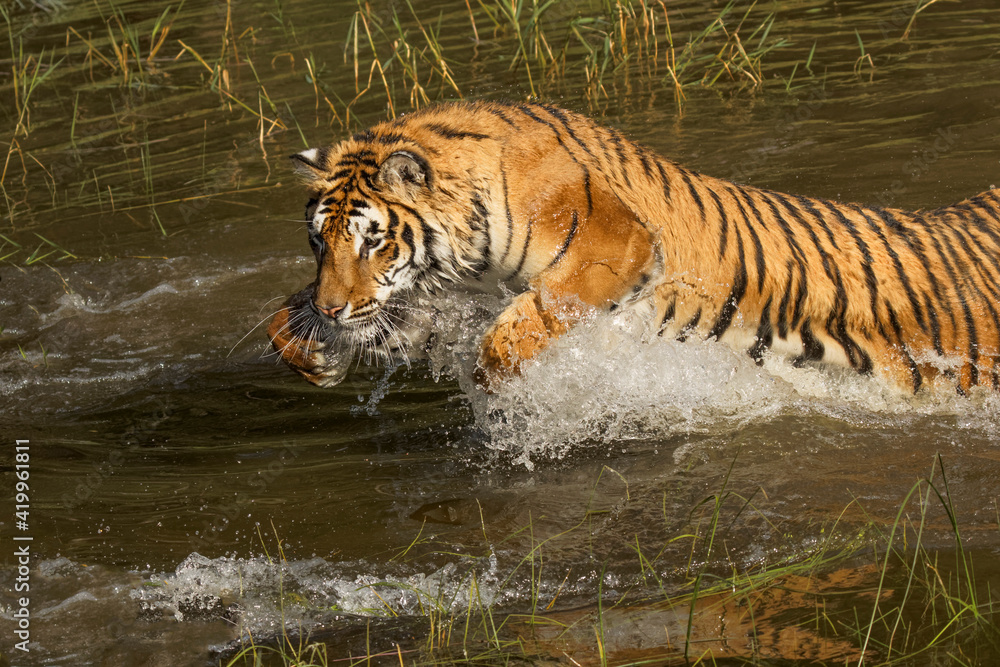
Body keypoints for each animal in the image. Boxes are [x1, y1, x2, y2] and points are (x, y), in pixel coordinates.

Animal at [267, 100, 1000, 394]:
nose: (332, 311)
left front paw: (499, 387)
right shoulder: (434, 293)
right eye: (320, 243)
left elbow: (530, 318)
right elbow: (285, 315)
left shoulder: (613, 243)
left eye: (374, 242)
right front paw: (311, 354)